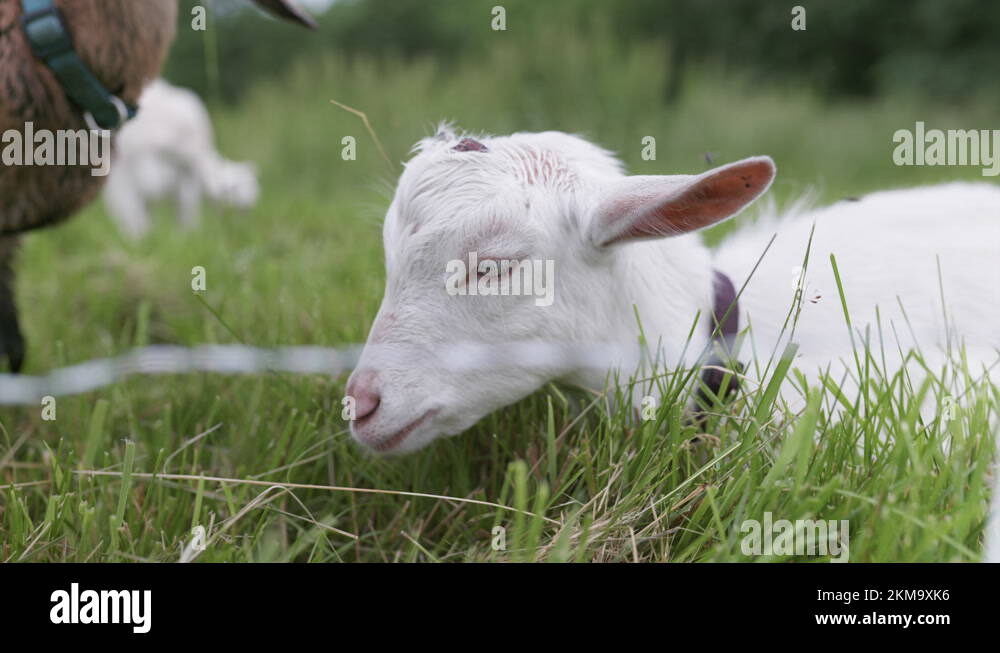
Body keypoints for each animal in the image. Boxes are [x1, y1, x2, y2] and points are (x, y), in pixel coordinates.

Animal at [104, 79, 260, 240]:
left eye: (254, 184)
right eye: (233, 187)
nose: (249, 206)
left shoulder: (184, 174)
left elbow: (185, 212)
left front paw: (184, 238)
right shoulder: (124, 173)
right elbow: (130, 212)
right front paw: (137, 239)